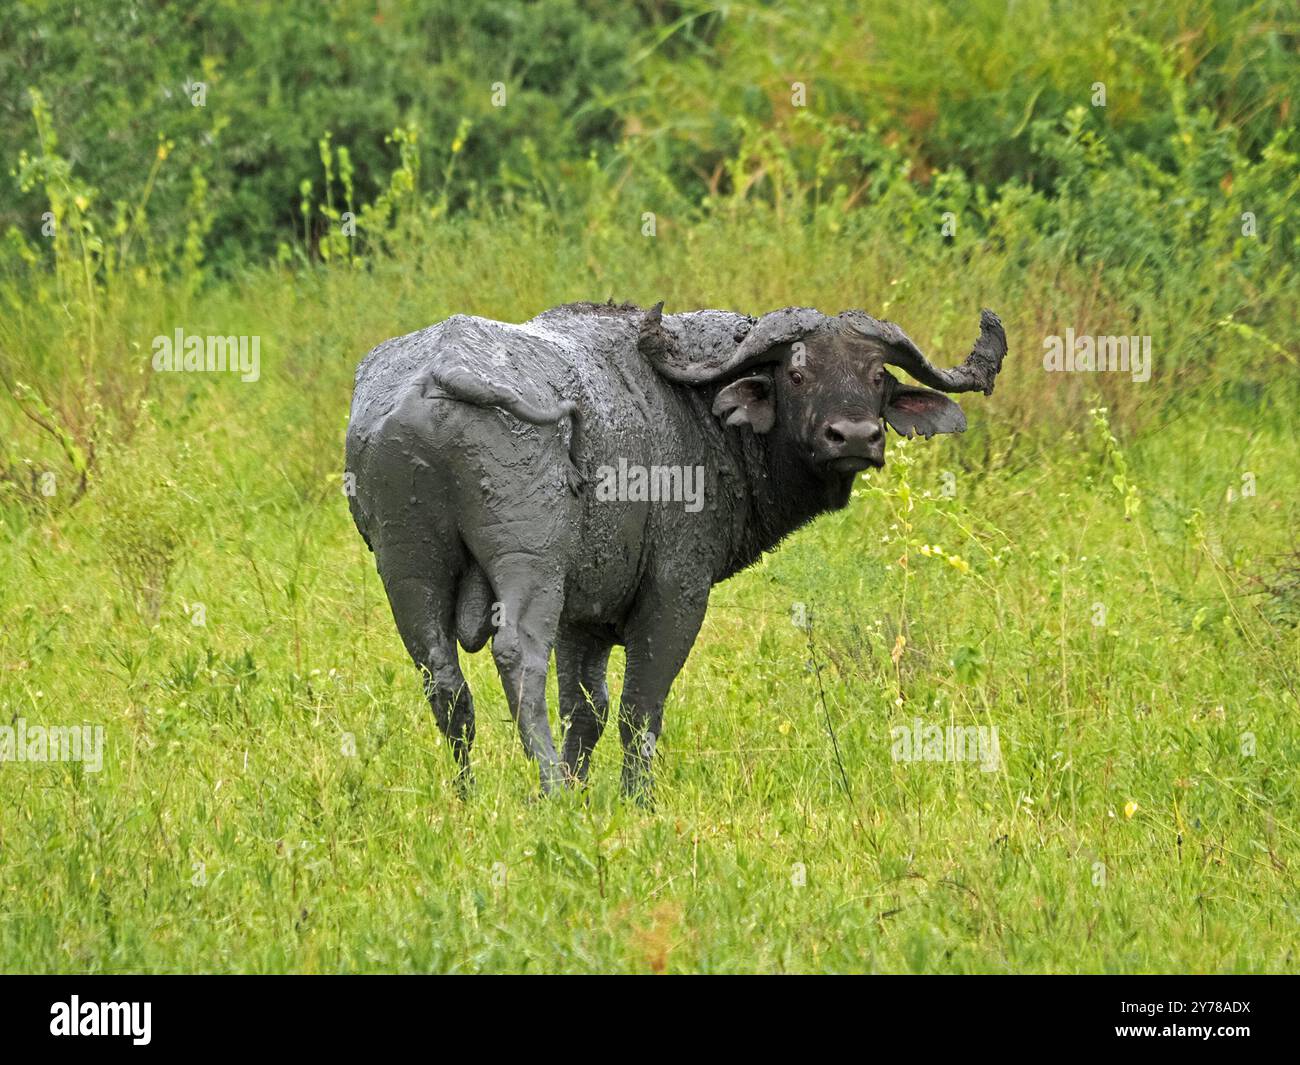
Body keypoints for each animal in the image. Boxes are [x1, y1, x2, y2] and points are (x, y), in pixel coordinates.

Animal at [345, 301, 1007, 799]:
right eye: (798, 374)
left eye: (877, 376)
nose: (854, 437)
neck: (698, 412)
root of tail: (440, 372)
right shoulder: (673, 596)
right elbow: (639, 708)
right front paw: (634, 800)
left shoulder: (585, 618)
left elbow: (586, 709)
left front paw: (586, 793)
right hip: (530, 569)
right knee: (518, 658)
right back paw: (549, 791)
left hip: (407, 569)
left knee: (443, 680)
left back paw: (470, 796)